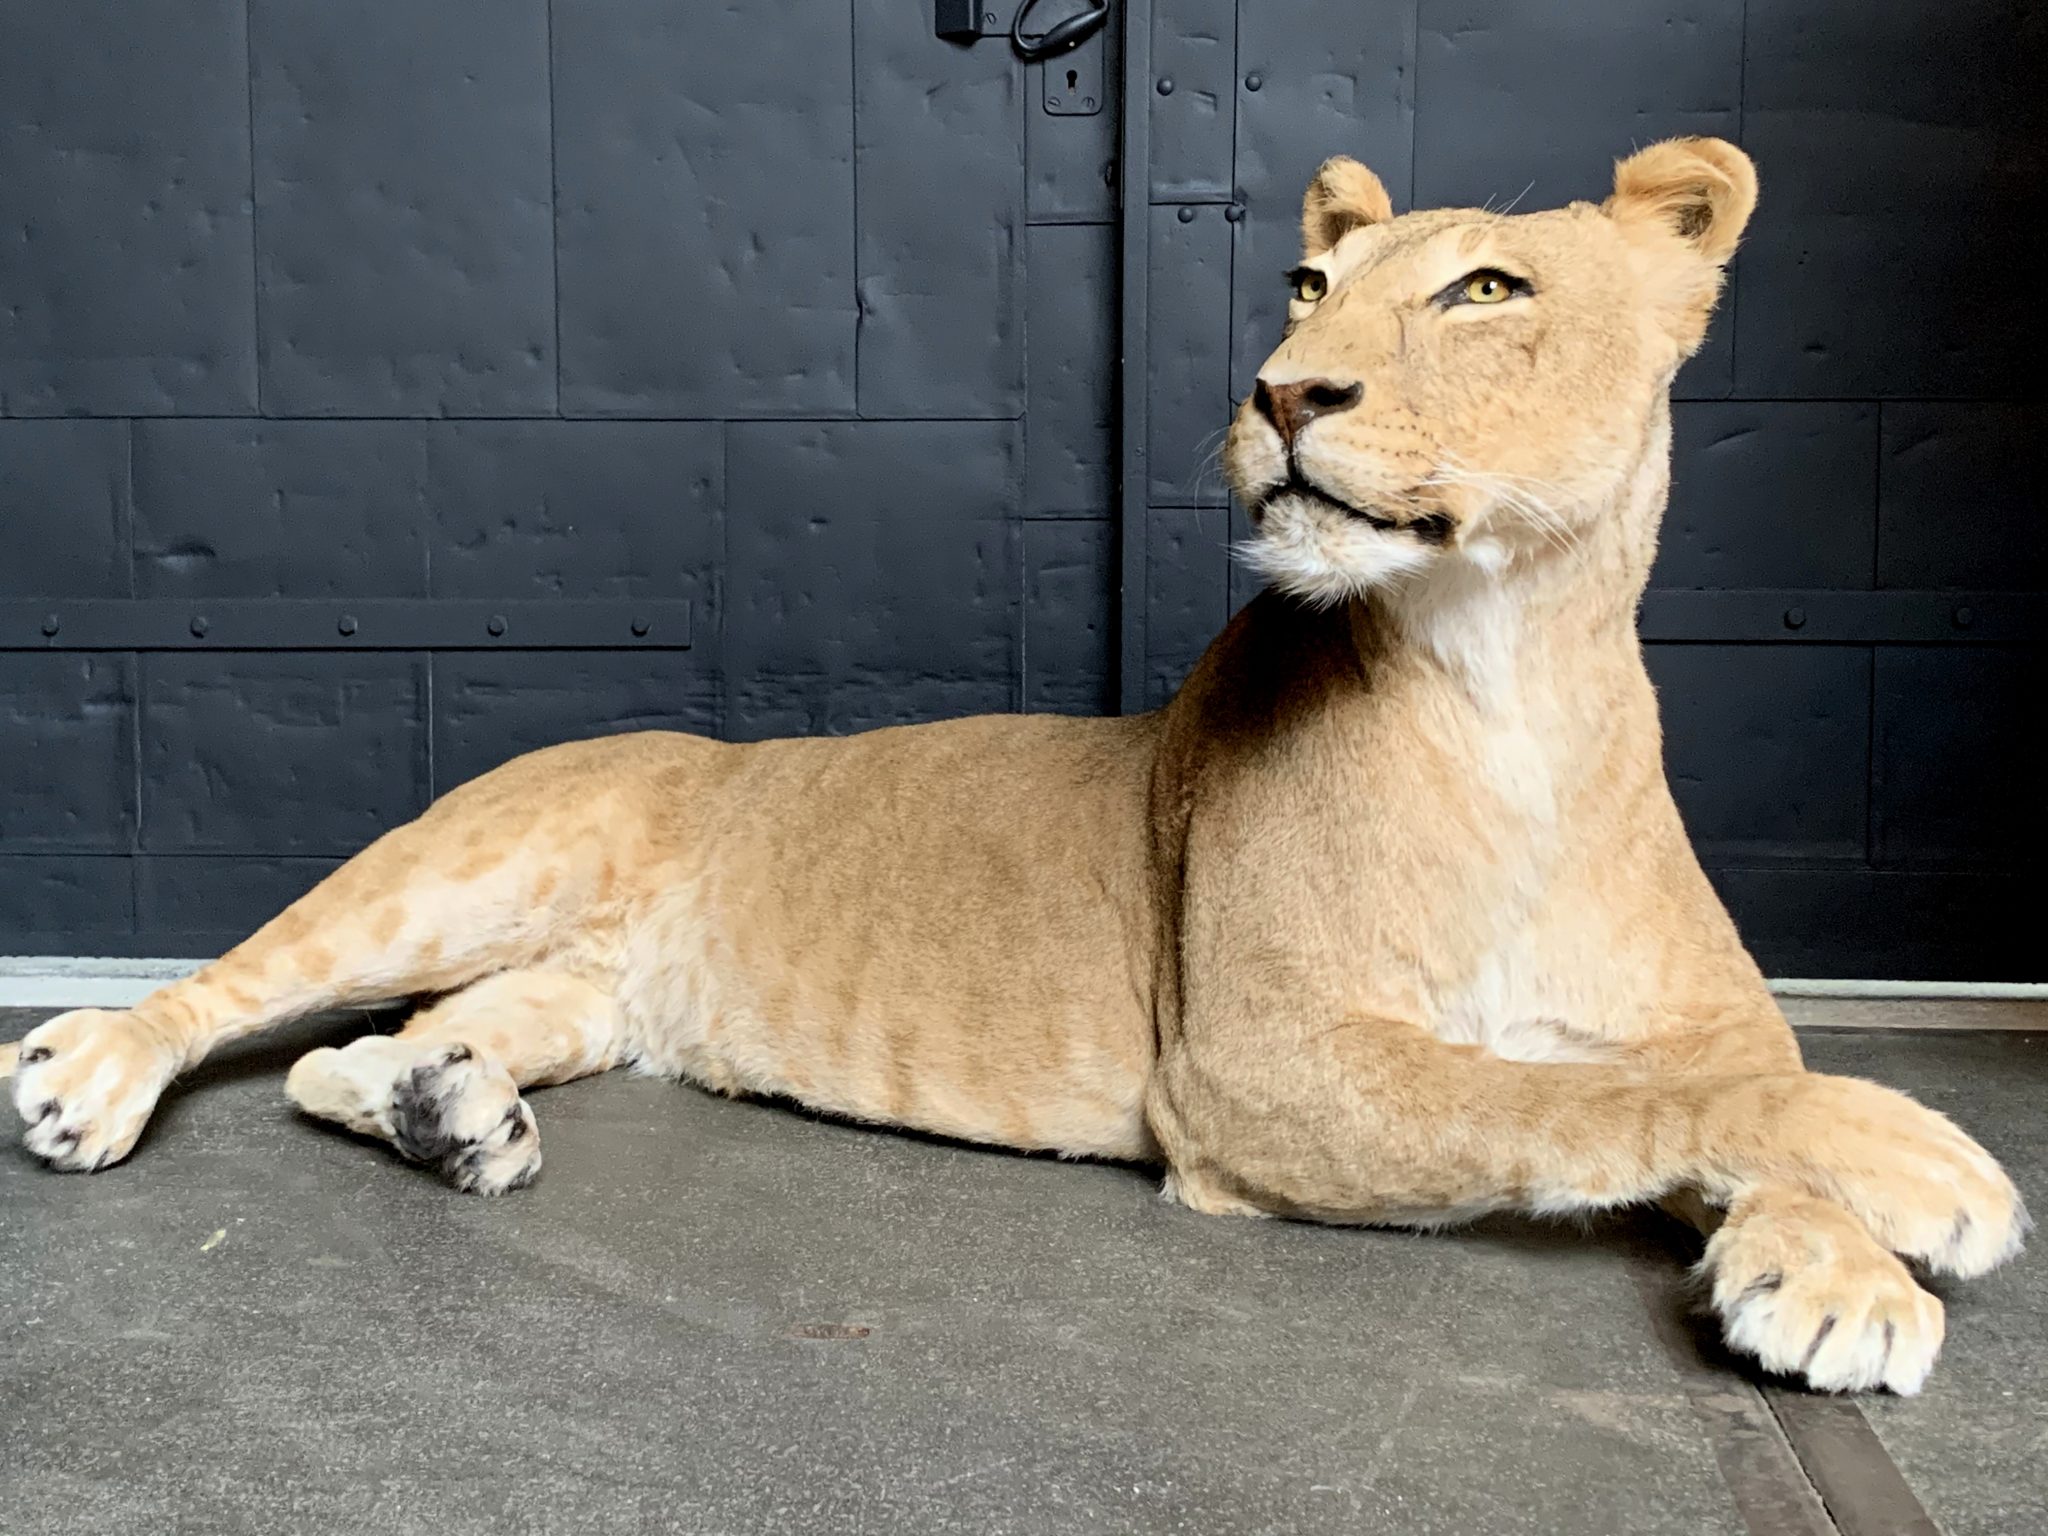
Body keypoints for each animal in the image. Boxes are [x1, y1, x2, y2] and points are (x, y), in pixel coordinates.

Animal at [5, 138, 2024, 1396]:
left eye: (1484, 290)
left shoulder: (1676, 1018)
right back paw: (88, 1076)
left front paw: (1829, 1269)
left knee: (351, 1058)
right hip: (464, 862)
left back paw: (445, 1110)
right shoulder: (1247, 1071)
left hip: (579, 997)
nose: (1283, 389)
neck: (1505, 668)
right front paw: (1916, 1169)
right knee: (241, 999)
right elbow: (1592, 1106)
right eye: (1307, 281)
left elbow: (1695, 1082)